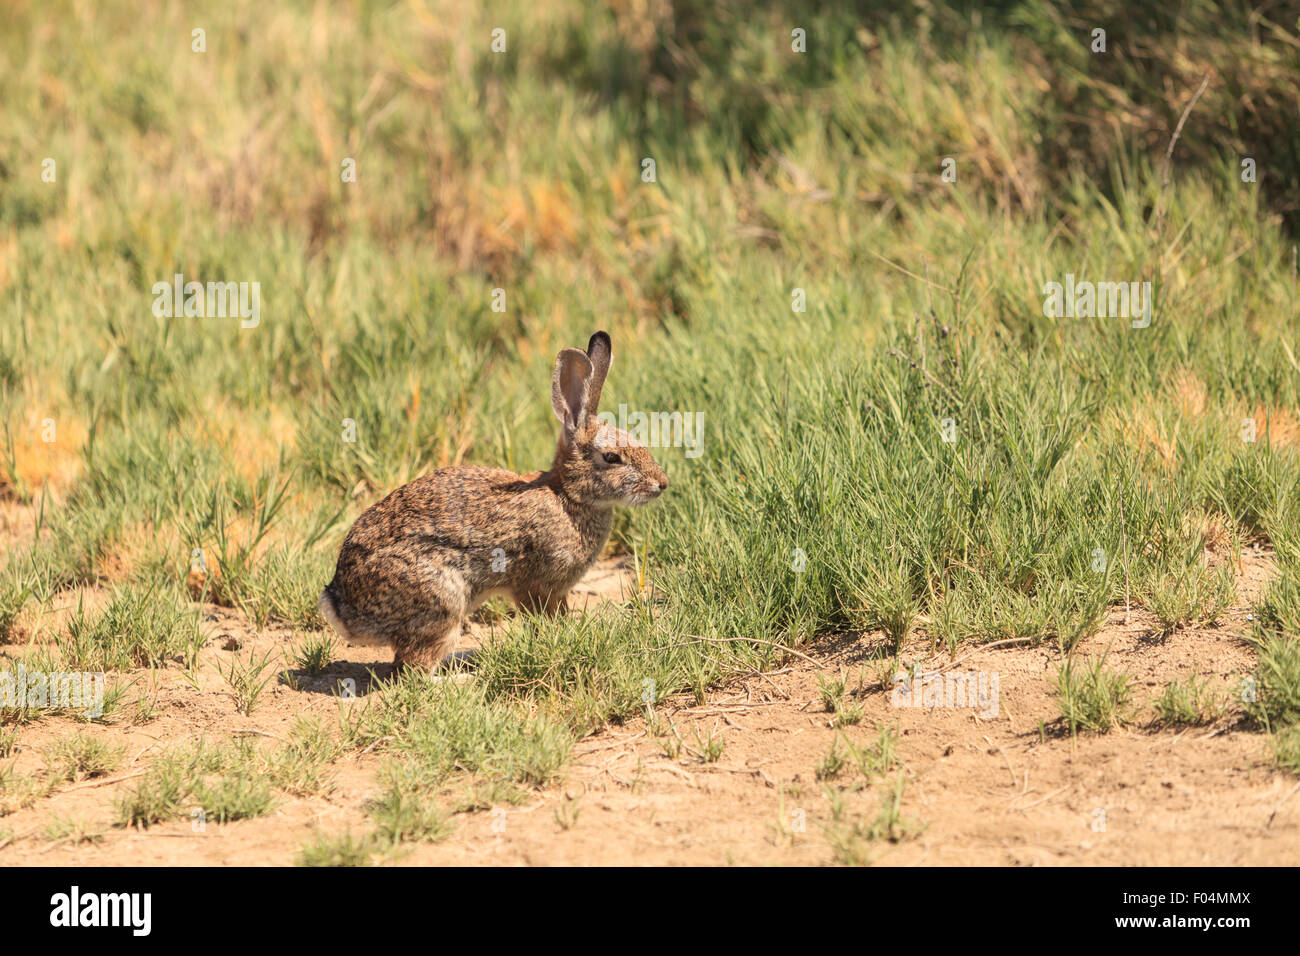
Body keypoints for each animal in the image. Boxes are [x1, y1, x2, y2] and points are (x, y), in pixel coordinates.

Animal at [318, 331, 669, 670]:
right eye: (611, 457)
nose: (662, 483)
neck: (568, 496)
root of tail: (341, 606)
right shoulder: (536, 586)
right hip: (443, 600)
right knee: (413, 665)